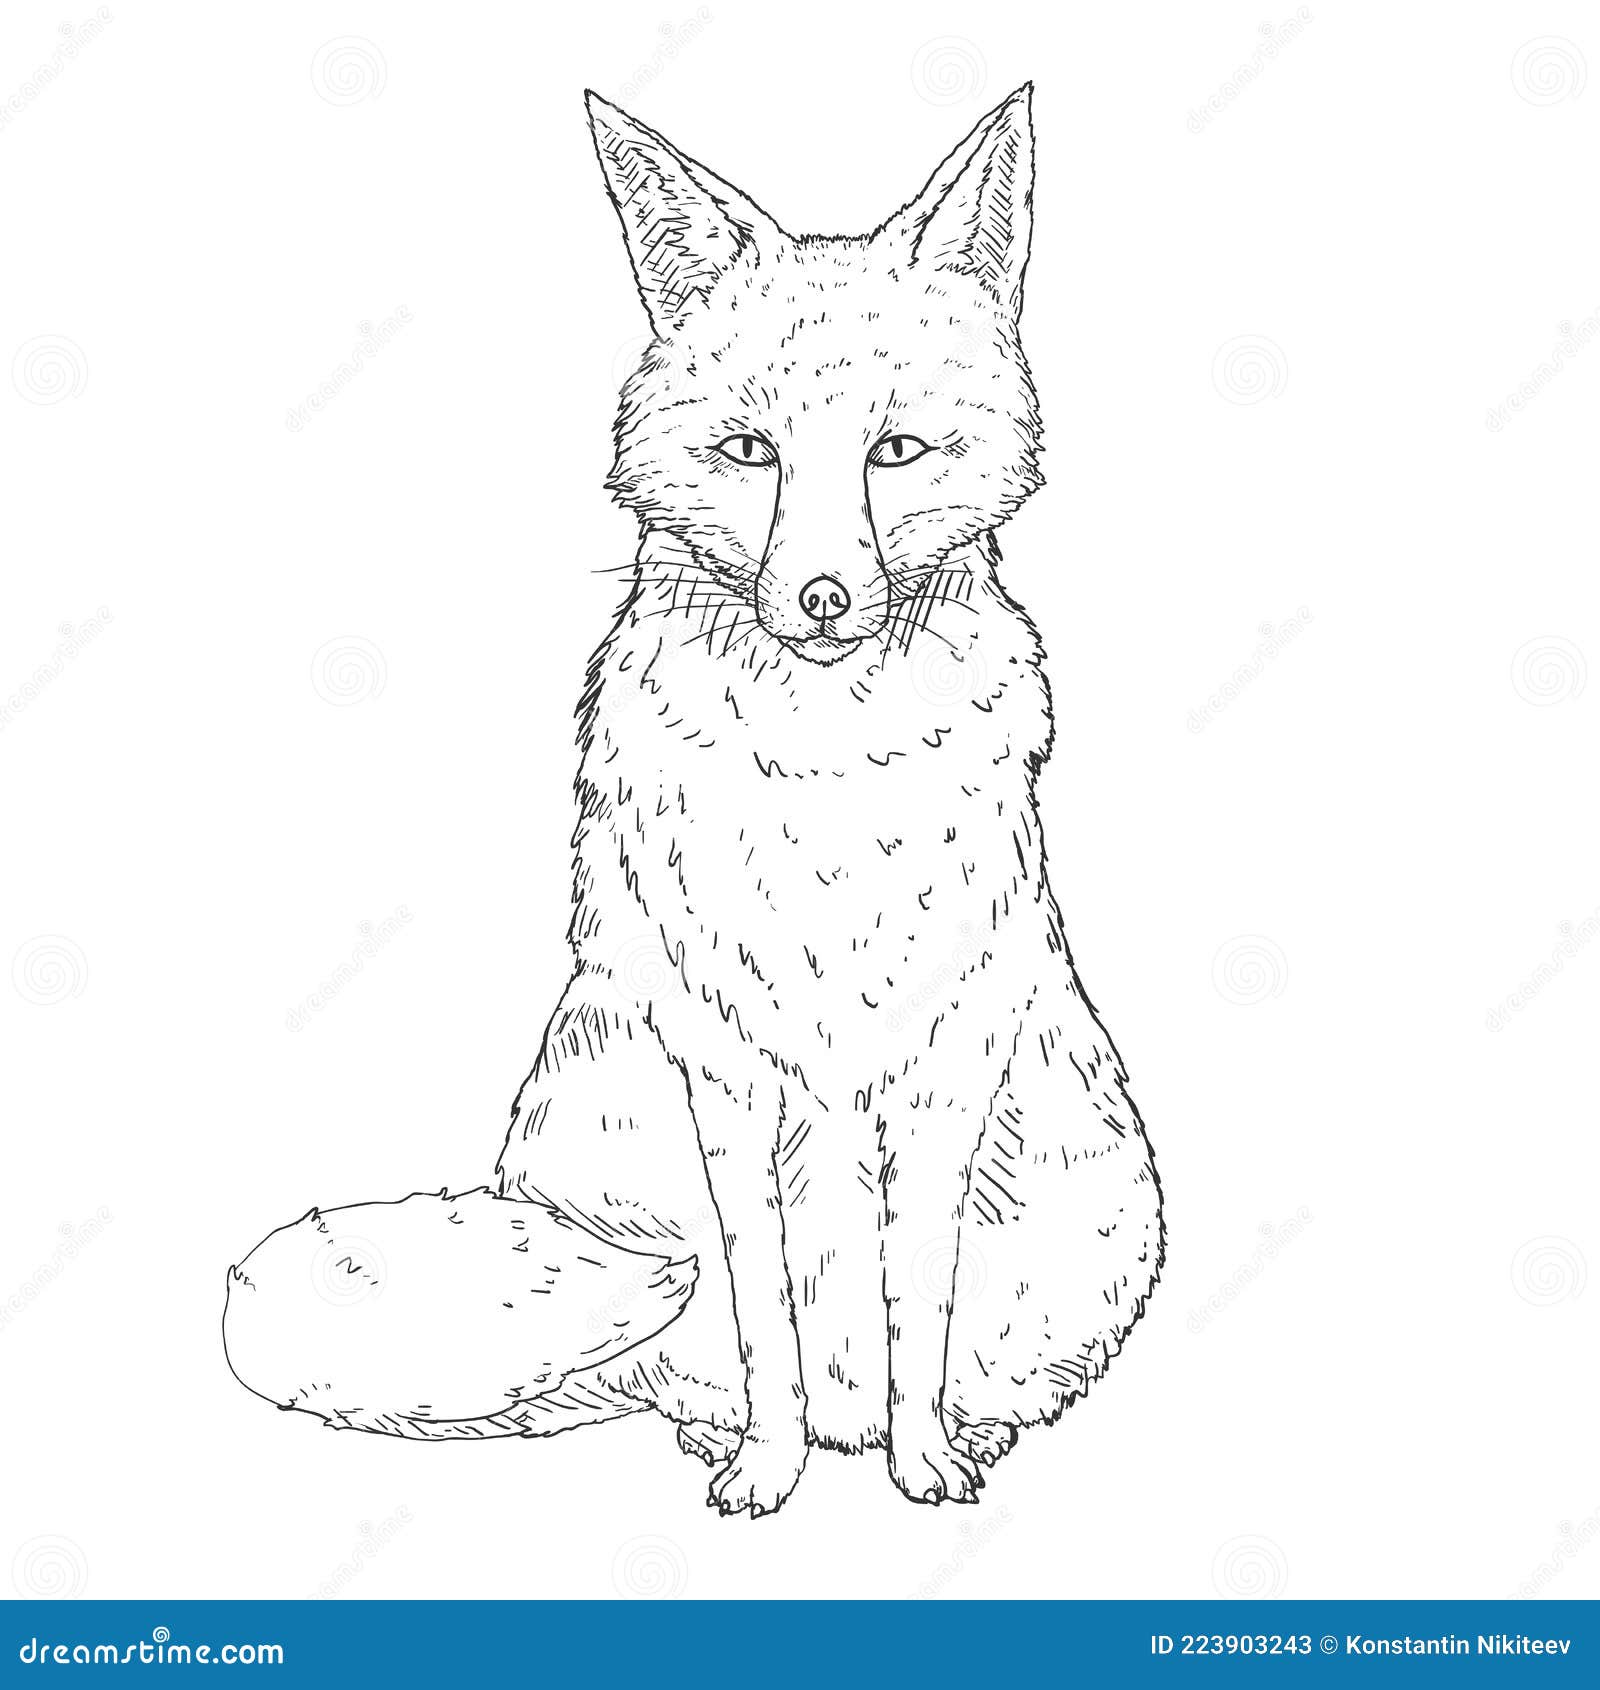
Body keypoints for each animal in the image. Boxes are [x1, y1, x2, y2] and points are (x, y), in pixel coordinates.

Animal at [223, 85, 1164, 1517]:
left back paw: (950, 1433)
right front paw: (768, 1471)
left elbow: (918, 1301)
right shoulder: (724, 1070)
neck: (829, 793)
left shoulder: (942, 1070)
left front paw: (927, 1461)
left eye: (896, 451)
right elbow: (765, 1307)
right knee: (691, 1357)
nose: (824, 600)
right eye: (747, 452)